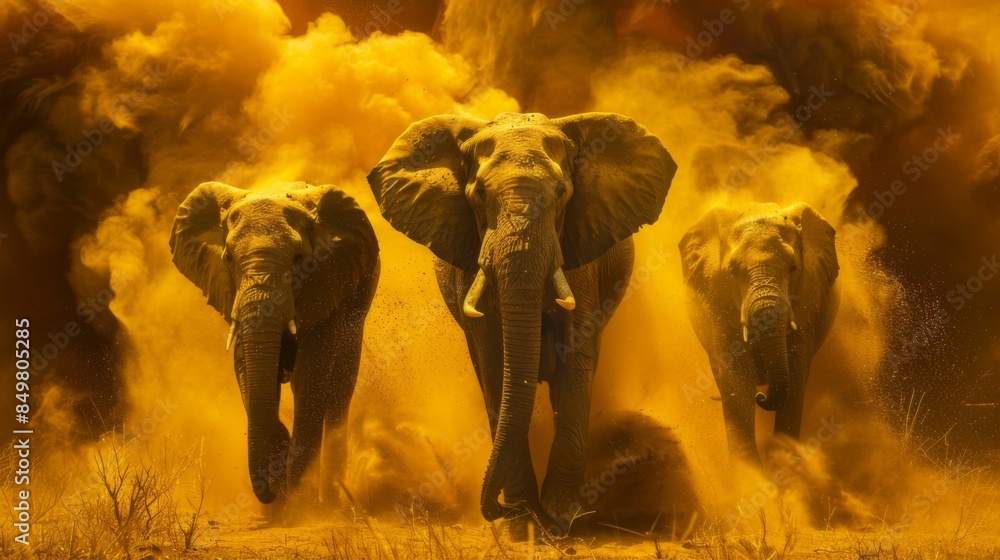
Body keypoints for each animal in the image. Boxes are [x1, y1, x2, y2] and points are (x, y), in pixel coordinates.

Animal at [170, 181, 380, 504]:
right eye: (228, 258)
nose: (271, 493)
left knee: (339, 390)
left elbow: (309, 377)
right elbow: (247, 371)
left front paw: (300, 500)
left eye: (299, 259)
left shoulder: (326, 281)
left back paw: (334, 497)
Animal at [367, 112, 677, 531]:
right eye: (479, 194)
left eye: (562, 192)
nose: (494, 509)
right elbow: (495, 367)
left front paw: (562, 516)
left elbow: (575, 364)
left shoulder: (579, 254)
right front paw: (523, 522)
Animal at [678, 202, 839, 461]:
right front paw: (749, 471)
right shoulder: (717, 303)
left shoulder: (808, 298)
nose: (761, 397)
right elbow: (737, 379)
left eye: (793, 268)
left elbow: (796, 375)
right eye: (732, 272)